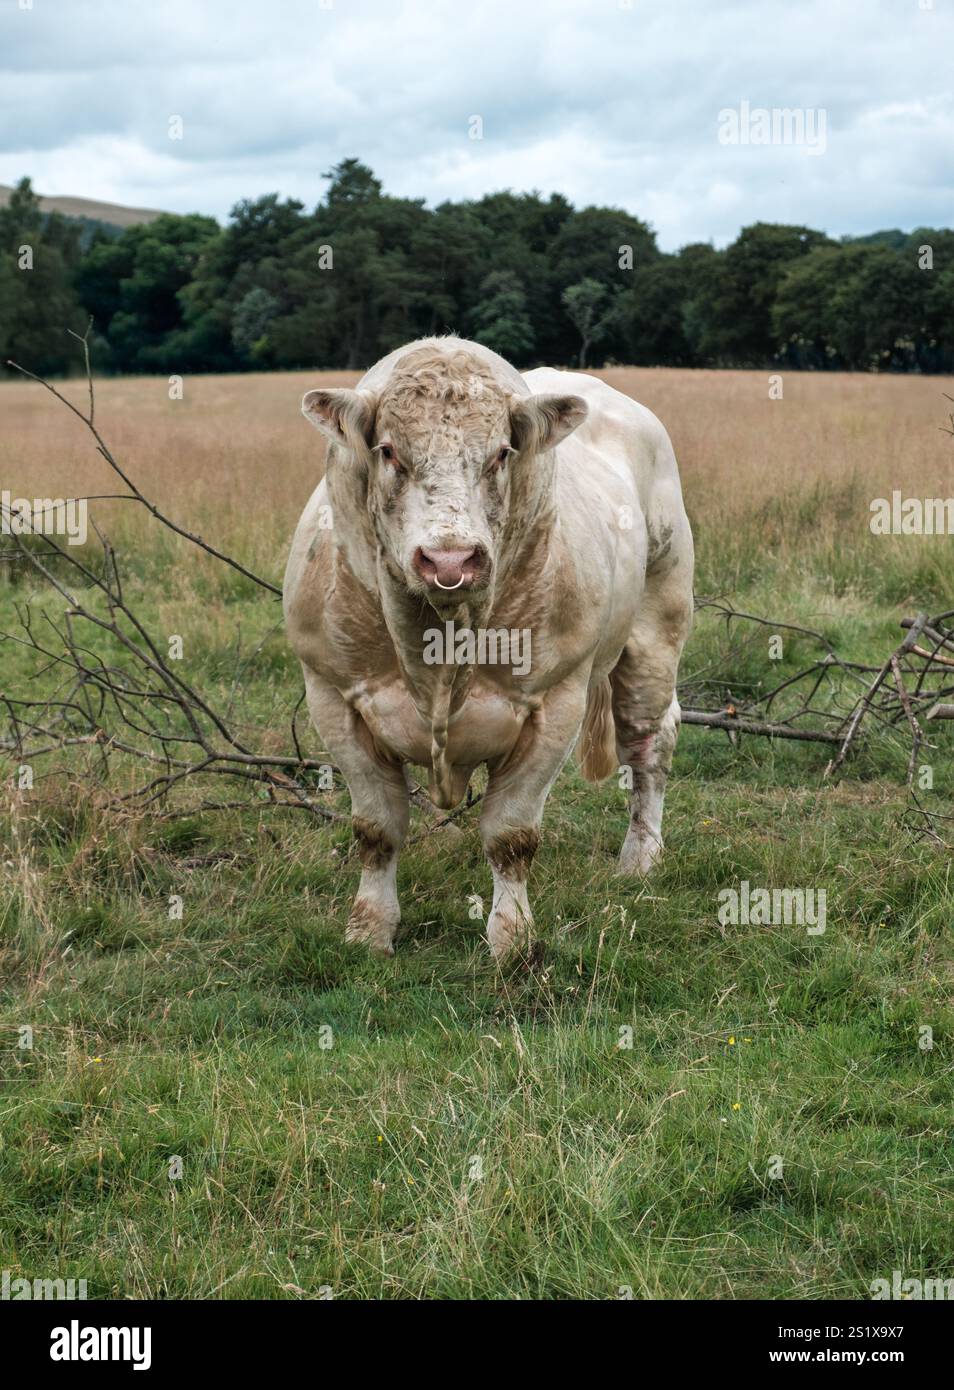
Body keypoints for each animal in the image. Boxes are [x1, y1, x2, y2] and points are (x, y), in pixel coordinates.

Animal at [284, 337, 694, 958]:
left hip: (657, 627)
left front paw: (512, 939)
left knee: (648, 743)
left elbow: (510, 835)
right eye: (388, 451)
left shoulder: (555, 701)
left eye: (502, 453)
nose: (450, 560)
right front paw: (369, 930)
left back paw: (640, 858)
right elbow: (376, 829)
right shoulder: (333, 695)